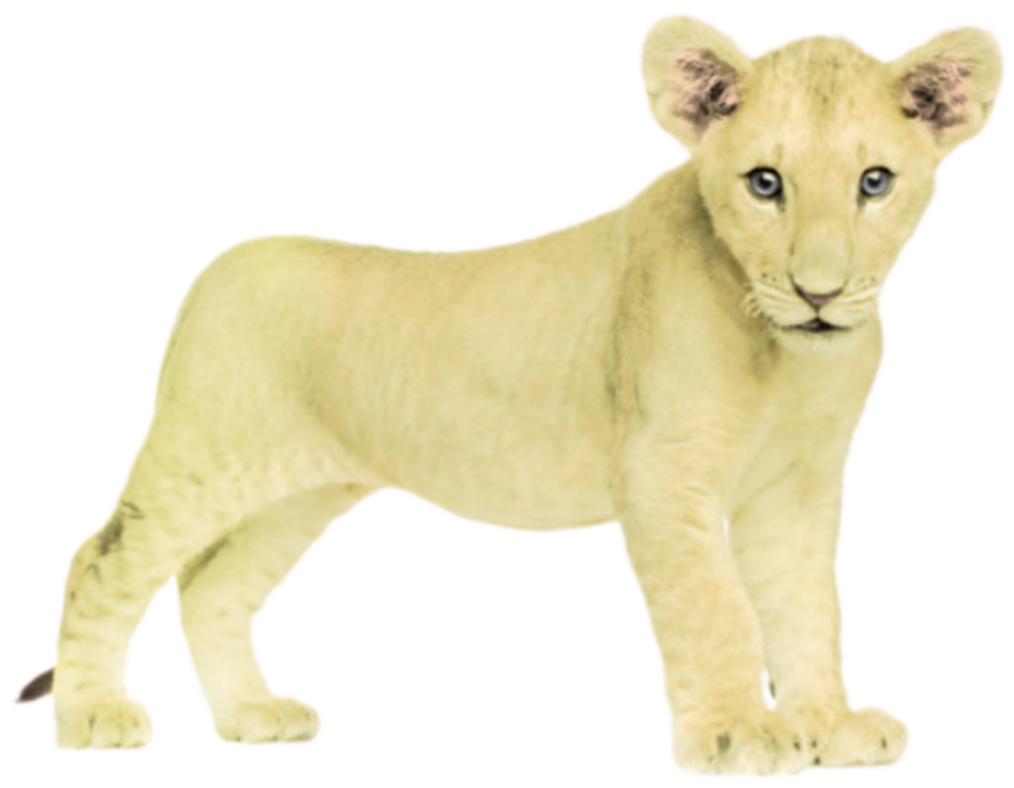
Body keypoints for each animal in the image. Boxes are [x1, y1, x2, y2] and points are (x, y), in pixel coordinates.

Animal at [9, 10, 1009, 777]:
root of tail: (218, 261)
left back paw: (252, 717)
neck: (787, 353)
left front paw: (828, 727)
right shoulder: (663, 477)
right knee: (101, 558)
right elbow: (715, 608)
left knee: (211, 584)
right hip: (207, 450)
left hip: (303, 493)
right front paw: (738, 734)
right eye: (765, 183)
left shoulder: (798, 489)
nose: (818, 291)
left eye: (875, 182)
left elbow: (811, 608)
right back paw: (96, 717)